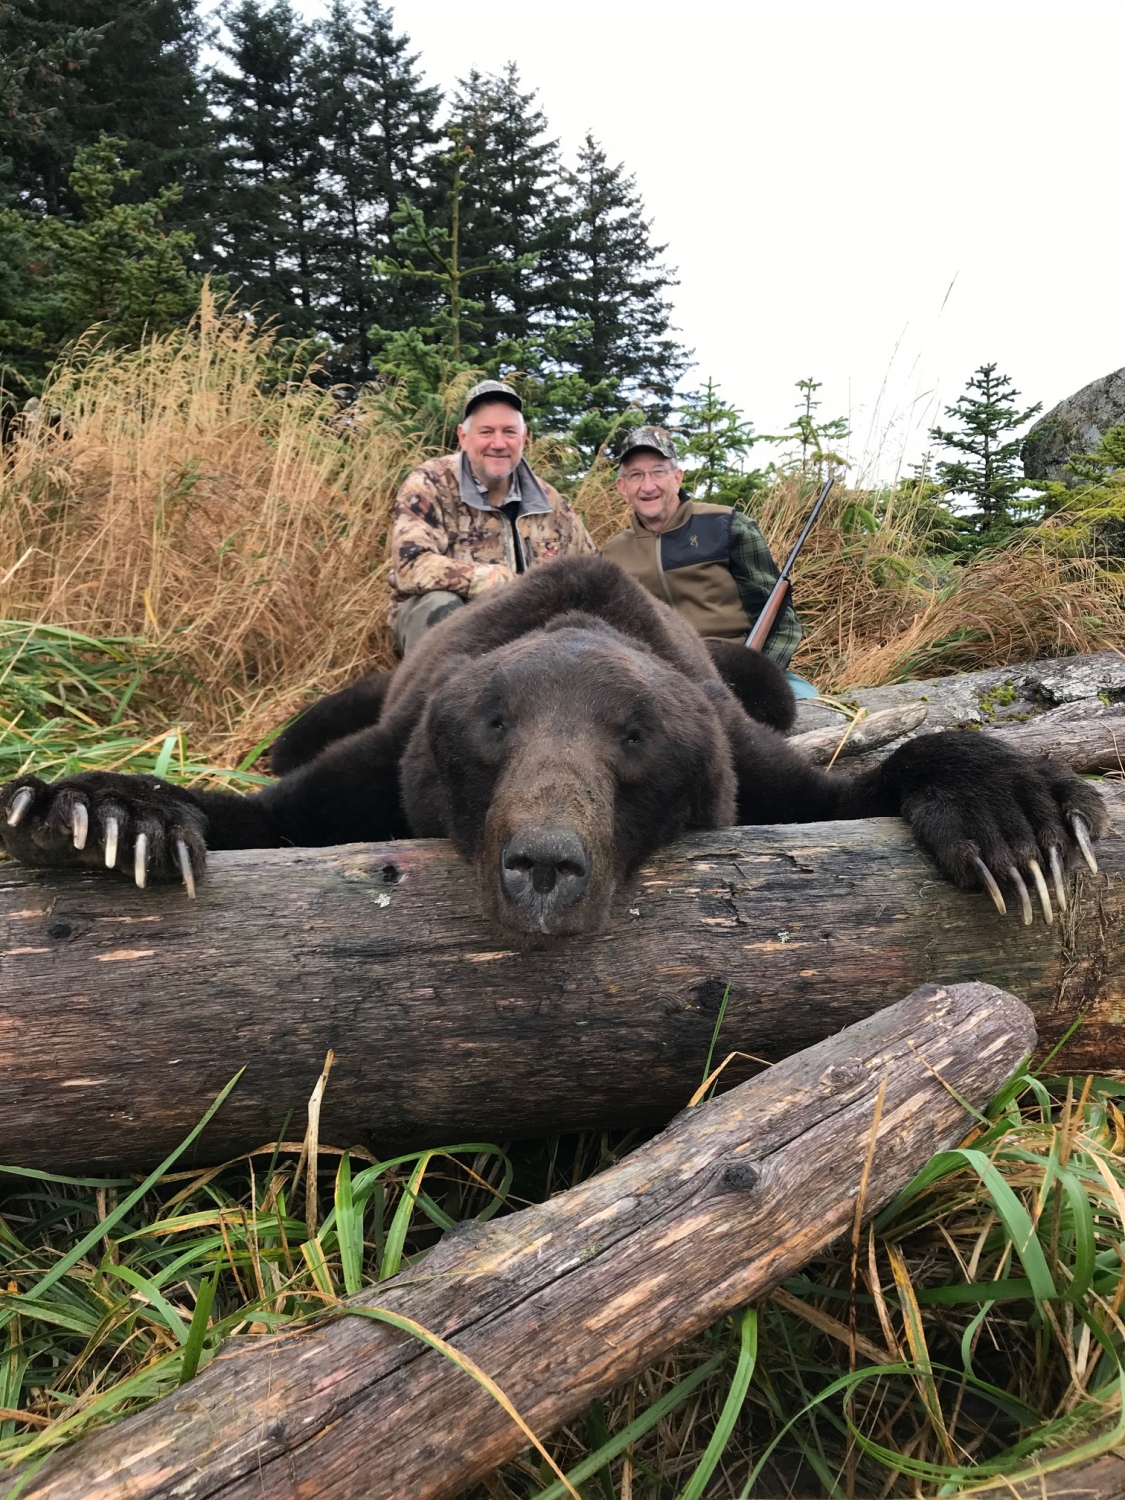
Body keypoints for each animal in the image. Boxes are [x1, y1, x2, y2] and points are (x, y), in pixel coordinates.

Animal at [0, 555, 1106, 943]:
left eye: (636, 739)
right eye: (491, 729)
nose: (543, 866)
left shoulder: (738, 744)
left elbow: (858, 783)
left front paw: (1018, 814)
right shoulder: (384, 755)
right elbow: (263, 815)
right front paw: (104, 811)